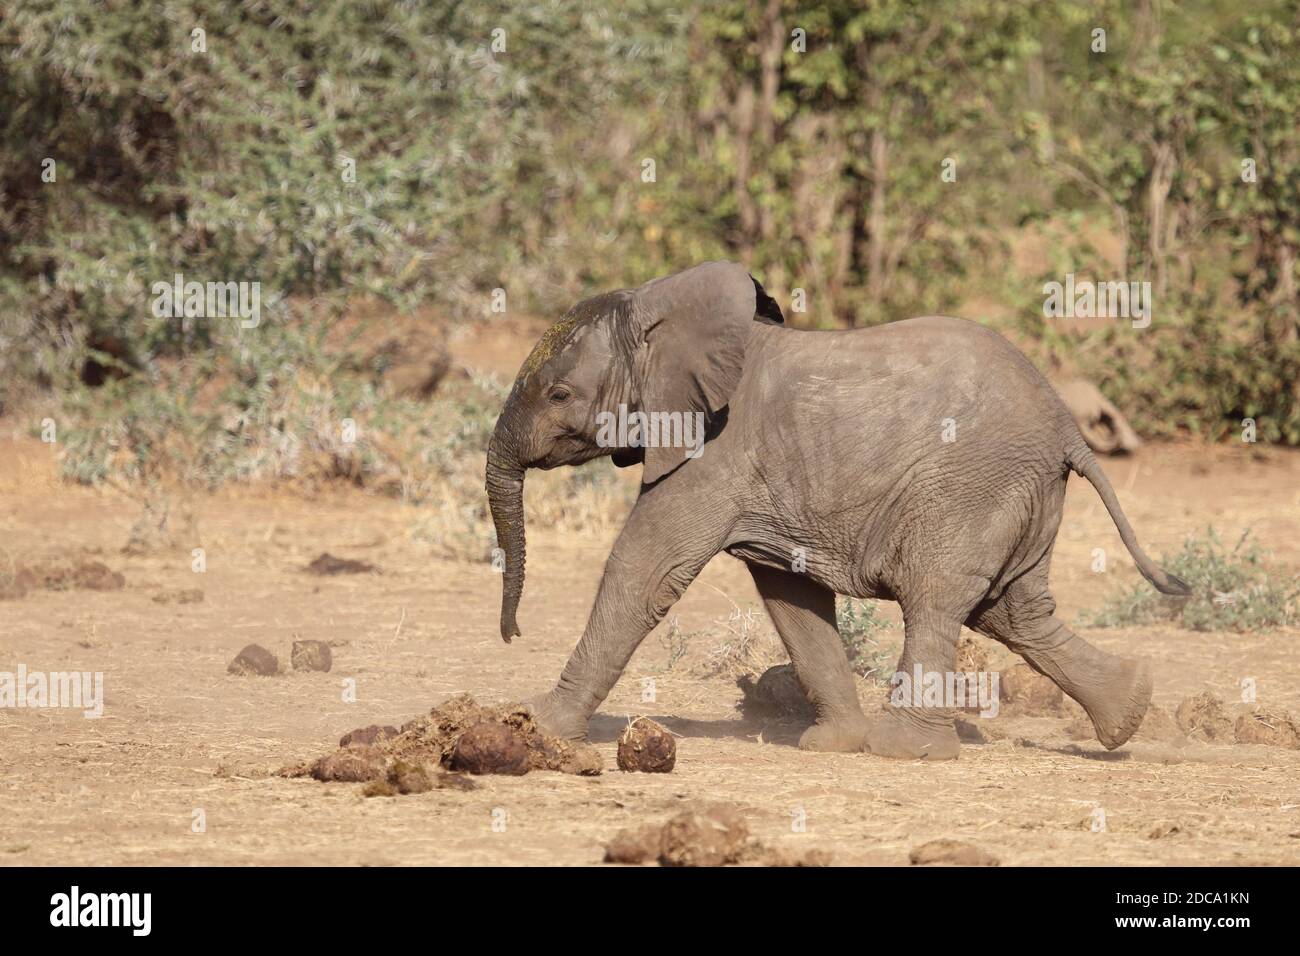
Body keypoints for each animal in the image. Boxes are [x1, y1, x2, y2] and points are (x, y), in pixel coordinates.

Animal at [485, 261, 1189, 759]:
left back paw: (906, 751)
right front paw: (832, 745)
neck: (662, 309)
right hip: (1018, 493)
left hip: (971, 485)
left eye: (559, 394)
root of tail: (1068, 426)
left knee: (938, 597)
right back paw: (1129, 711)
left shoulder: (712, 451)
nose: (511, 634)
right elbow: (790, 598)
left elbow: (644, 571)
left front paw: (538, 722)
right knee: (1014, 612)